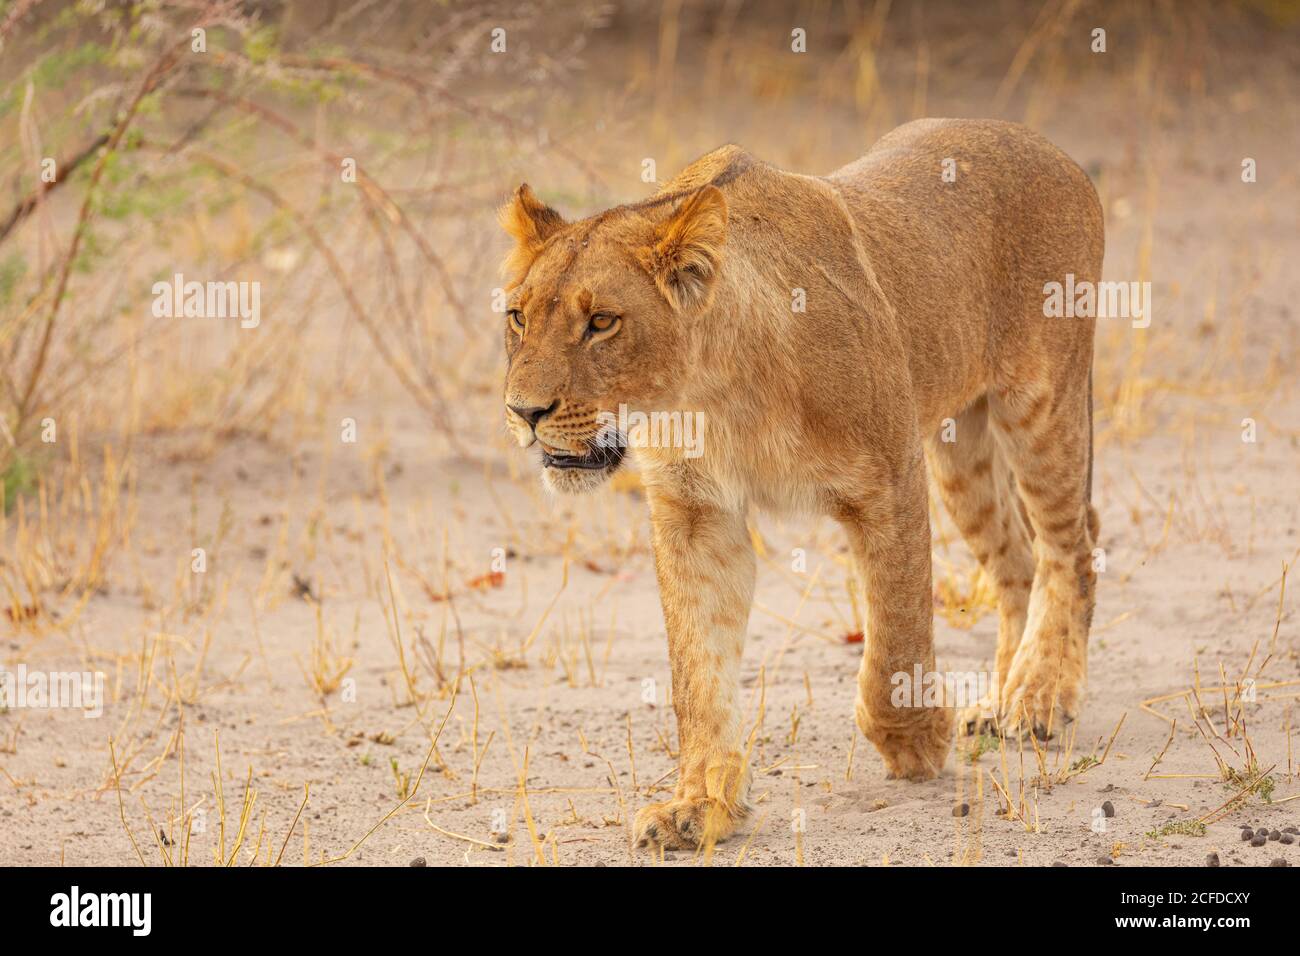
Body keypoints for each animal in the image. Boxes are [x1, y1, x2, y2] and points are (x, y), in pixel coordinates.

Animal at [497, 118, 1103, 851]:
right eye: (518, 317)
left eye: (602, 322)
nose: (524, 412)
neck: (713, 396)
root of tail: (1045, 144)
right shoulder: (696, 514)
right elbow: (697, 673)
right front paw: (699, 806)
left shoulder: (891, 479)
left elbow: (896, 638)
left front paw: (912, 742)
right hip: (963, 450)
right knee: (1017, 560)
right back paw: (999, 701)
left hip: (1040, 405)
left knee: (1071, 548)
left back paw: (1041, 699)